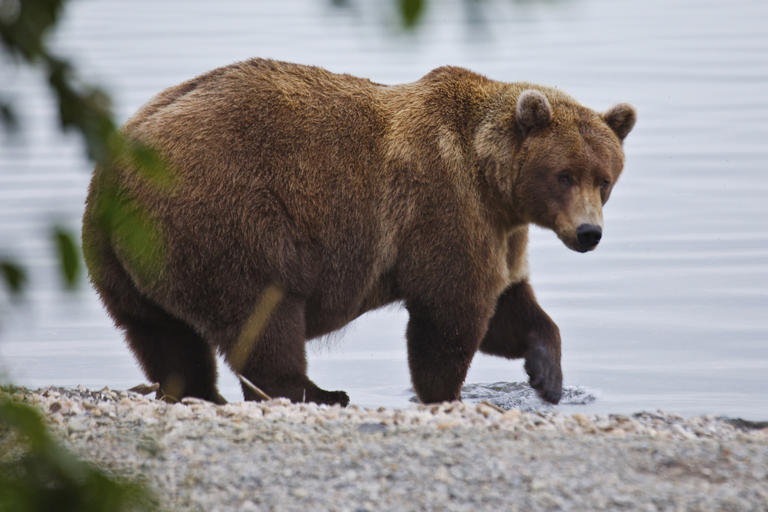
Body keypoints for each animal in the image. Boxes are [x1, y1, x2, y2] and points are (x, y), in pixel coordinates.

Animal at [82, 58, 636, 406]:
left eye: (604, 178)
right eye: (564, 175)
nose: (589, 232)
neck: (491, 180)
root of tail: (117, 167)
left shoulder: (501, 231)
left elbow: (509, 307)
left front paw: (548, 377)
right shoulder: (445, 207)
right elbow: (452, 312)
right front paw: (445, 392)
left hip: (124, 256)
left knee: (160, 333)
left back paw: (196, 390)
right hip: (228, 217)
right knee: (263, 312)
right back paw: (319, 392)